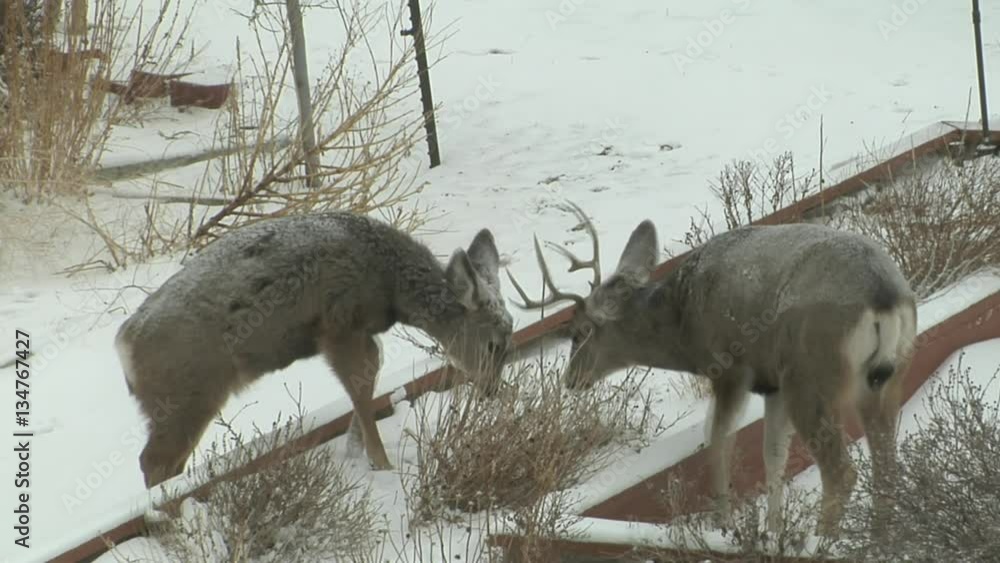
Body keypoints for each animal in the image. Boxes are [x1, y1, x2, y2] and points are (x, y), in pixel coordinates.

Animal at [115, 211, 514, 488]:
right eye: (493, 345)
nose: (493, 390)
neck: (388, 284)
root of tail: (124, 345)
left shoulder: (356, 334)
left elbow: (370, 379)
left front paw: (357, 452)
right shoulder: (339, 326)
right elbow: (361, 385)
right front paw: (382, 465)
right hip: (187, 398)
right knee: (153, 462)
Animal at [506, 202, 917, 537]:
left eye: (578, 333)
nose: (571, 380)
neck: (681, 322)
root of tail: (884, 296)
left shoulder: (730, 368)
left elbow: (717, 442)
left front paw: (726, 524)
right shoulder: (772, 382)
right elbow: (773, 455)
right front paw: (773, 531)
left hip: (811, 374)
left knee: (842, 473)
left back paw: (823, 543)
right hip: (885, 375)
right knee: (886, 462)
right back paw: (880, 537)